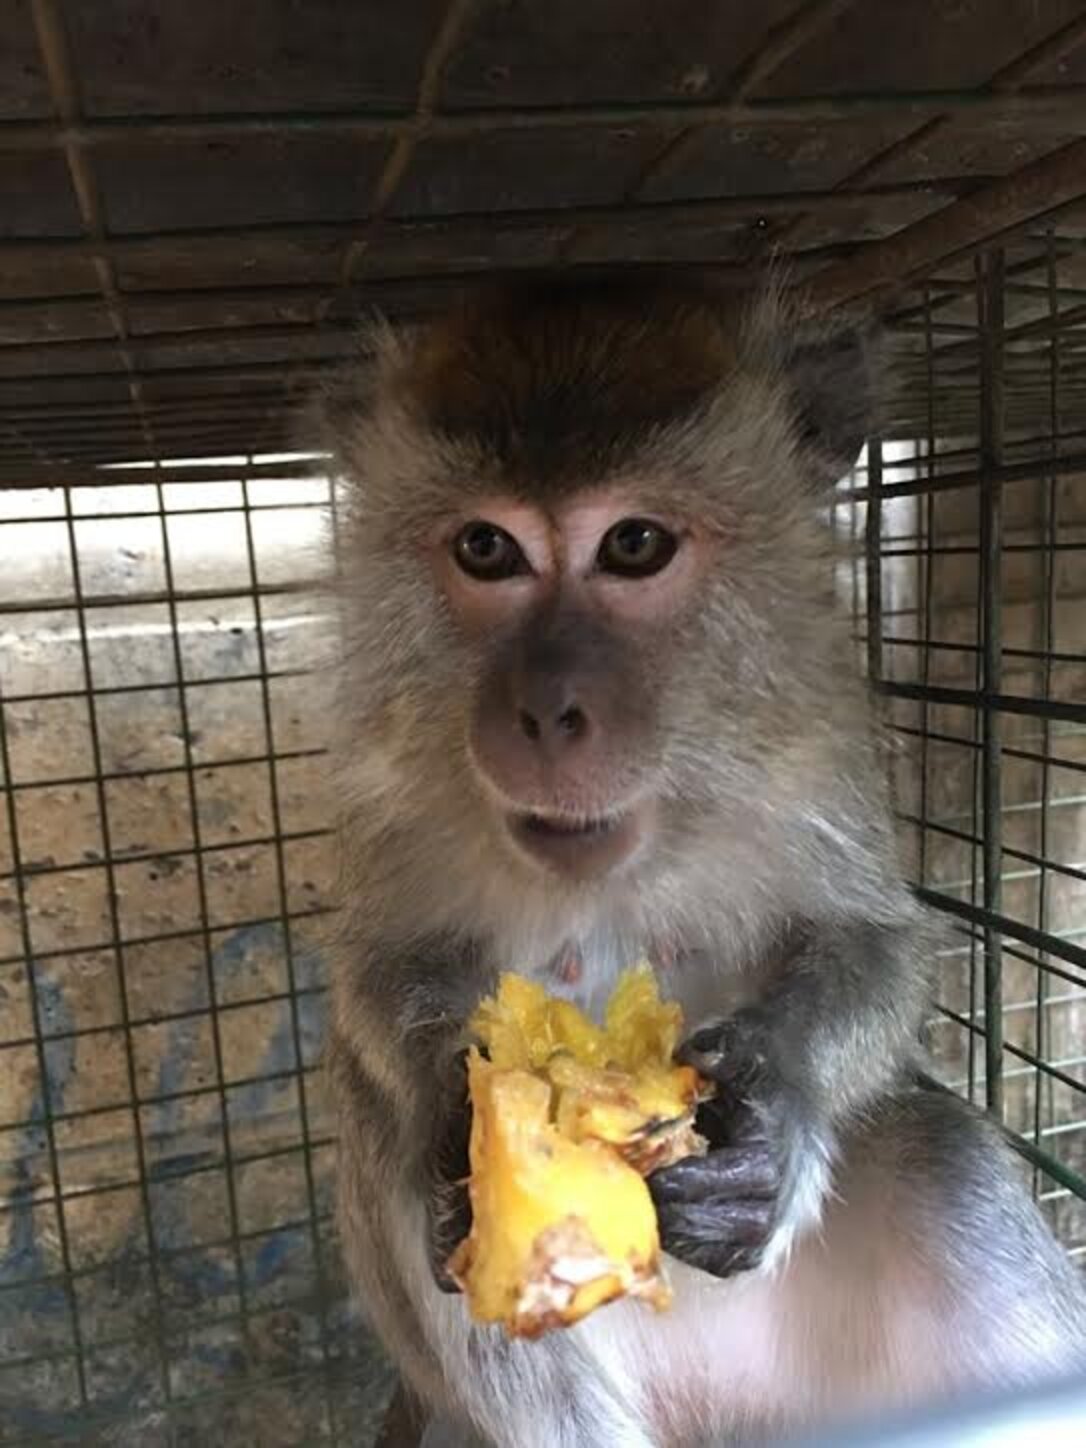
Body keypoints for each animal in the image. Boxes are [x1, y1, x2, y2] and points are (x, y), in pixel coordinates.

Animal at [318, 270, 1086, 1448]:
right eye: (487, 549)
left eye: (634, 544)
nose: (545, 710)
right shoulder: (382, 770)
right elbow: (375, 976)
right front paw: (451, 1090)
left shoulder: (815, 743)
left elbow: (877, 943)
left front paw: (777, 1099)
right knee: (409, 1181)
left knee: (947, 1156)